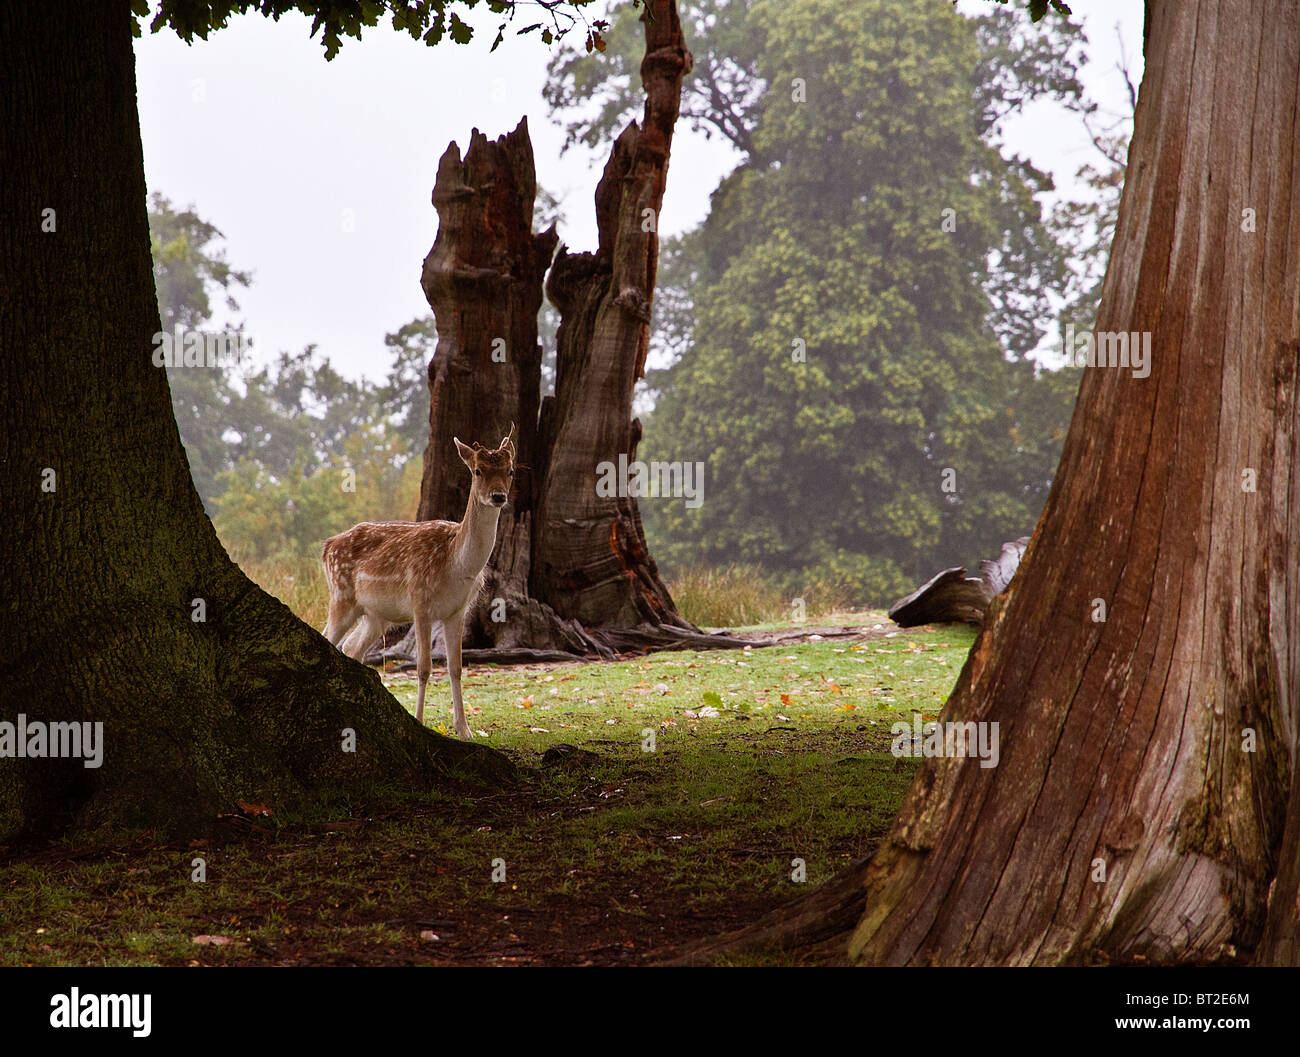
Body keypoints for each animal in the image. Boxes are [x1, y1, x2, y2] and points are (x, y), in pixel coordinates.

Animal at [320, 426, 516, 739]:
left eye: (510, 471)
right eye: (477, 470)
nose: (498, 496)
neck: (455, 565)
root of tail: (327, 547)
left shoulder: (457, 611)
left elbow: (456, 667)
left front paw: (464, 730)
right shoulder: (420, 601)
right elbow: (424, 667)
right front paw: (420, 721)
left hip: (376, 616)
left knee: (351, 648)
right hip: (341, 596)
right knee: (327, 637)